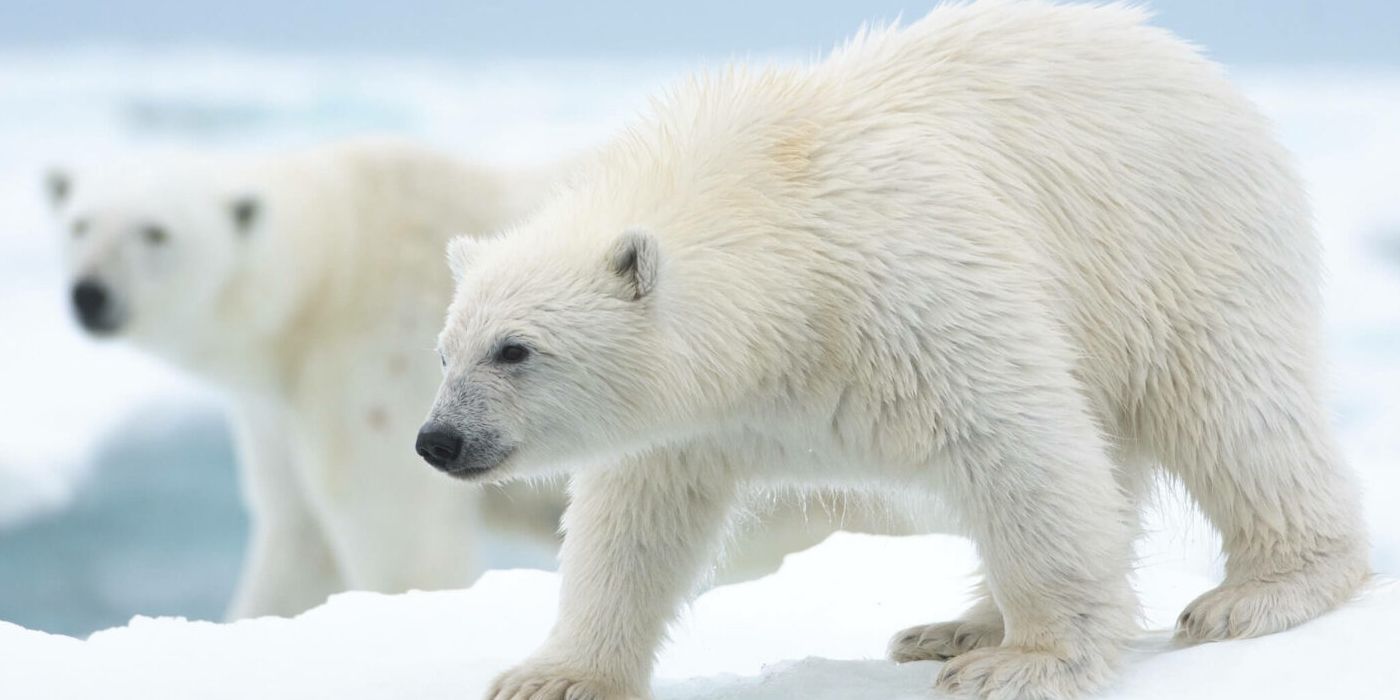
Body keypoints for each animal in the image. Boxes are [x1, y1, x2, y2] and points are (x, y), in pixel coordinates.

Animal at [421, 3, 1370, 699]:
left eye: (515, 349)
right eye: (445, 351)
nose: (439, 440)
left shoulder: (908, 295)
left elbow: (1019, 448)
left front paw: (1023, 663)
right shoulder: (696, 419)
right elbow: (634, 520)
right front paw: (552, 677)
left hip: (1177, 247)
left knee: (1228, 408)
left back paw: (1257, 594)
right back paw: (952, 624)